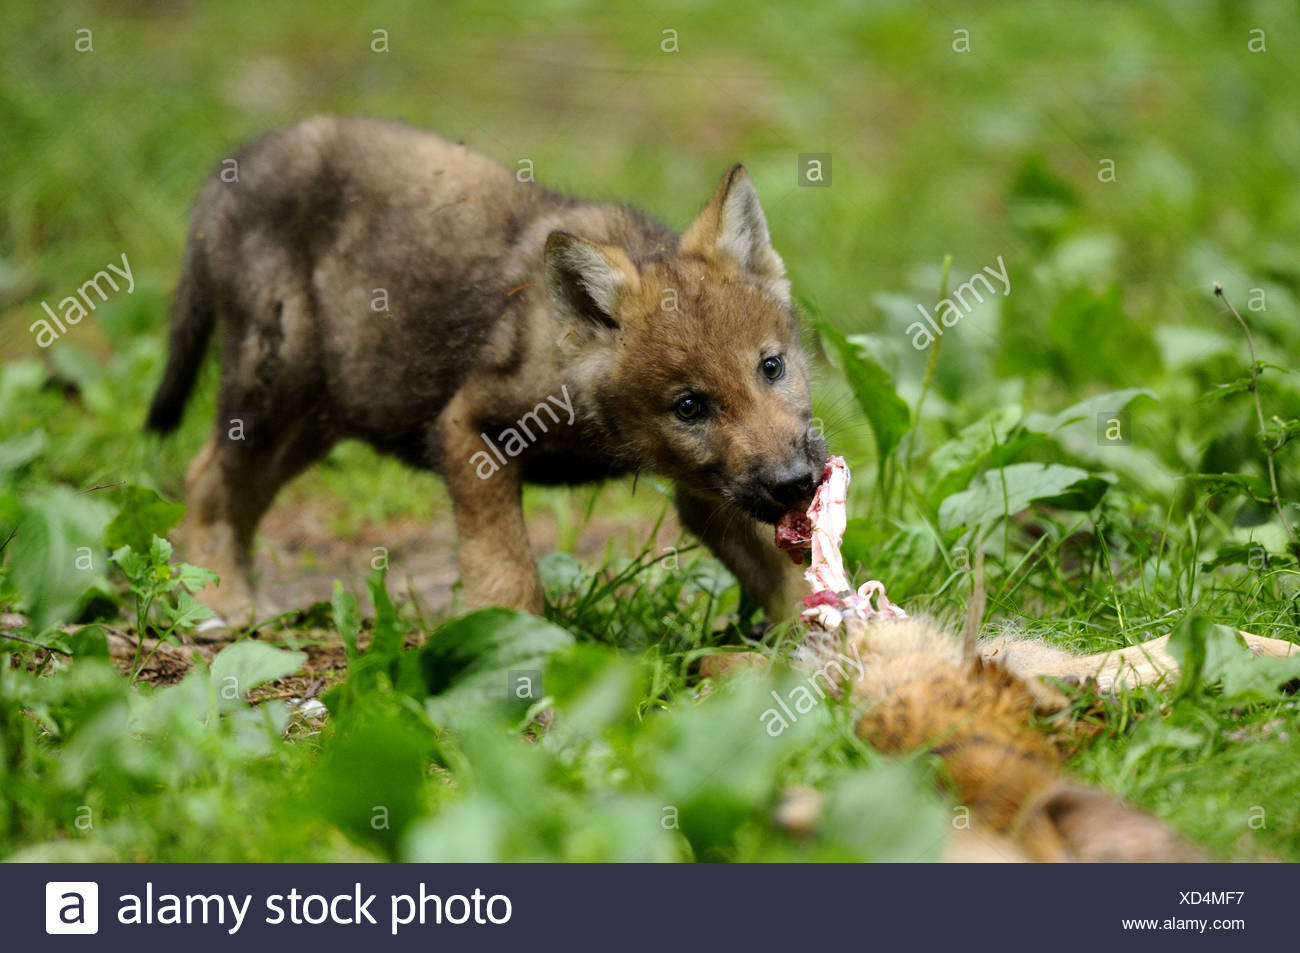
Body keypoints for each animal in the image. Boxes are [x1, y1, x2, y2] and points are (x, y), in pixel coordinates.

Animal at [146, 116, 826, 625]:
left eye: (771, 367)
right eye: (689, 407)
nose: (796, 483)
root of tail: (229, 173)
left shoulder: (711, 493)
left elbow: (790, 583)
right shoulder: (468, 429)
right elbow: (507, 575)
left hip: (321, 415)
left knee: (236, 493)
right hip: (273, 384)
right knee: (206, 480)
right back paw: (224, 608)